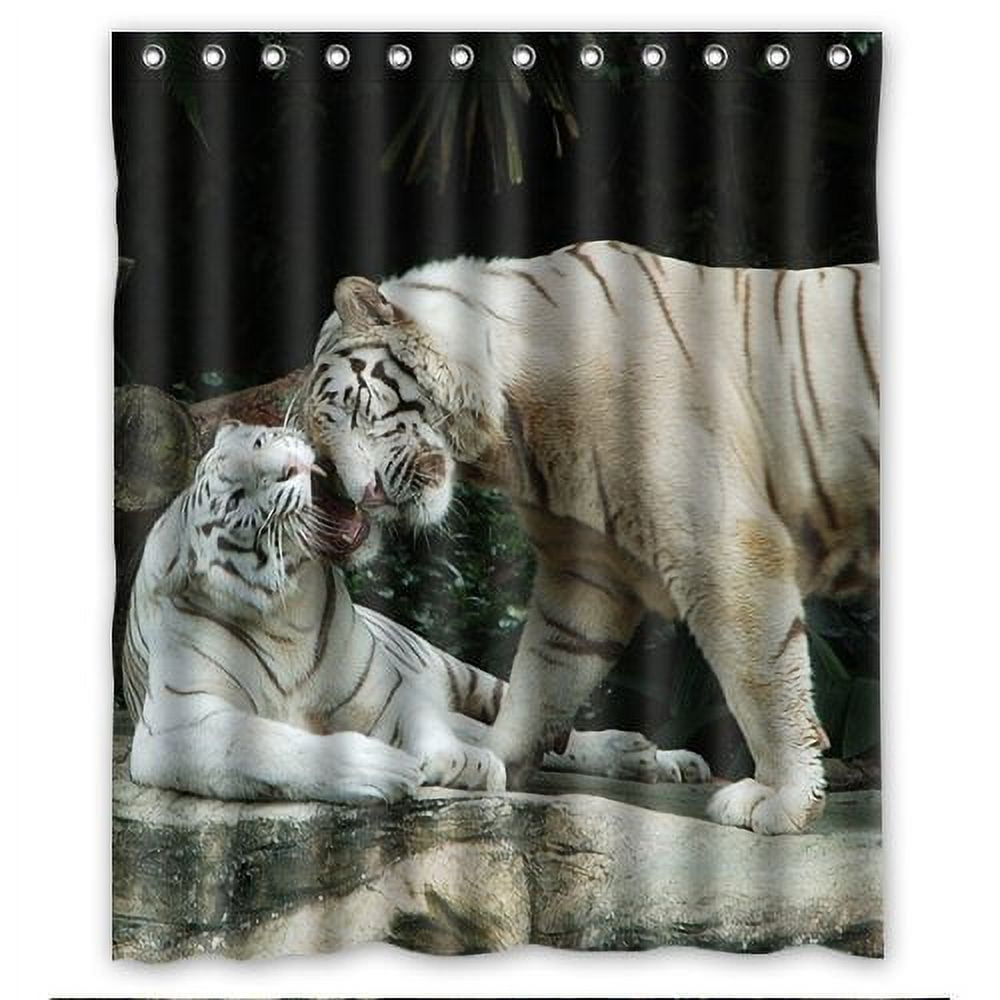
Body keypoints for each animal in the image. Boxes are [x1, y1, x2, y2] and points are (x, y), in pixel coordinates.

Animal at [122, 419, 710, 804]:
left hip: (458, 671)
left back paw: (650, 756)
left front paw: (462, 764)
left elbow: (422, 719)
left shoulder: (387, 687)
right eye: (238, 497)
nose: (291, 466)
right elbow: (260, 744)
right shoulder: (177, 723)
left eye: (263, 442)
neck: (287, 614)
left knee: (531, 718)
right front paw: (374, 764)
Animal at [303, 239, 880, 833]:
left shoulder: (721, 540)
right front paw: (493, 760)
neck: (518, 424)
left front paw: (782, 797)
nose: (366, 494)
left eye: (353, 407)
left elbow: (762, 675)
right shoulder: (585, 565)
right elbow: (545, 669)